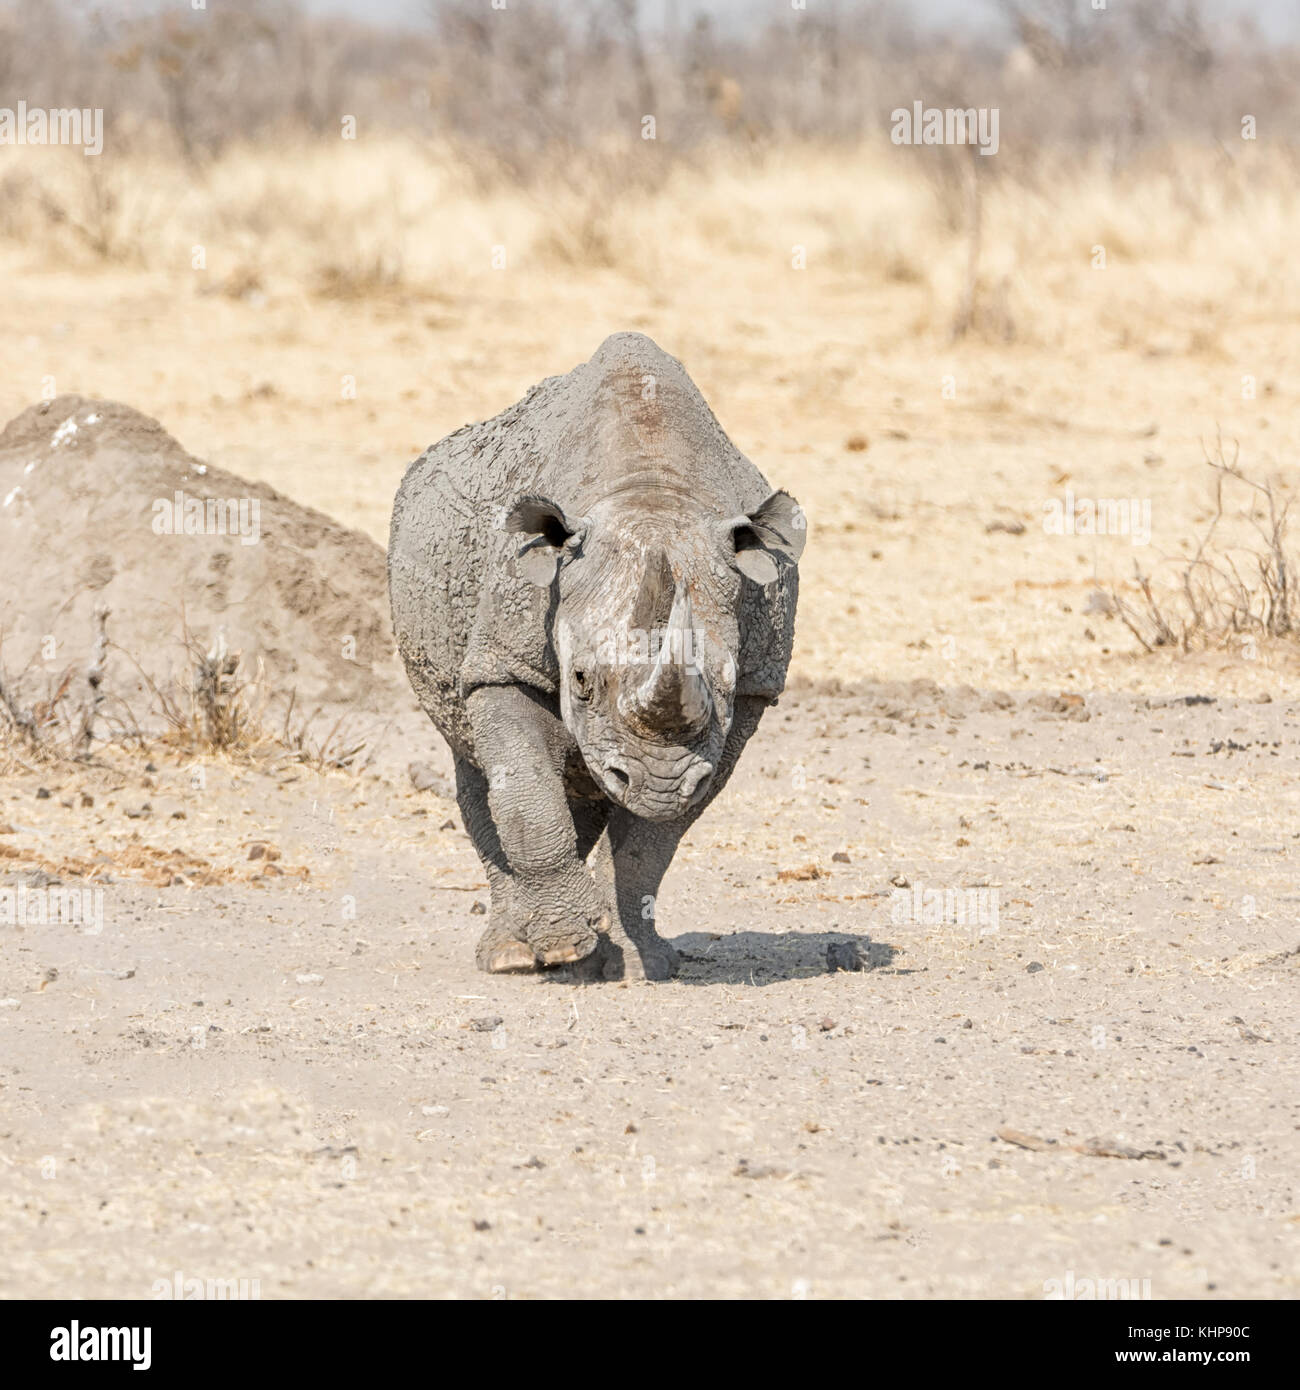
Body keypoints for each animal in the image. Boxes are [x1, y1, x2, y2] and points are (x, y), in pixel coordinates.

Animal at [388, 333, 805, 979]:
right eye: (580, 678)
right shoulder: (505, 662)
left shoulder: (755, 691)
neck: (652, 493)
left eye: (727, 684)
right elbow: (526, 790)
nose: (657, 781)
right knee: (478, 768)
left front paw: (634, 963)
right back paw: (513, 956)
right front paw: (563, 942)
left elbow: (651, 843)